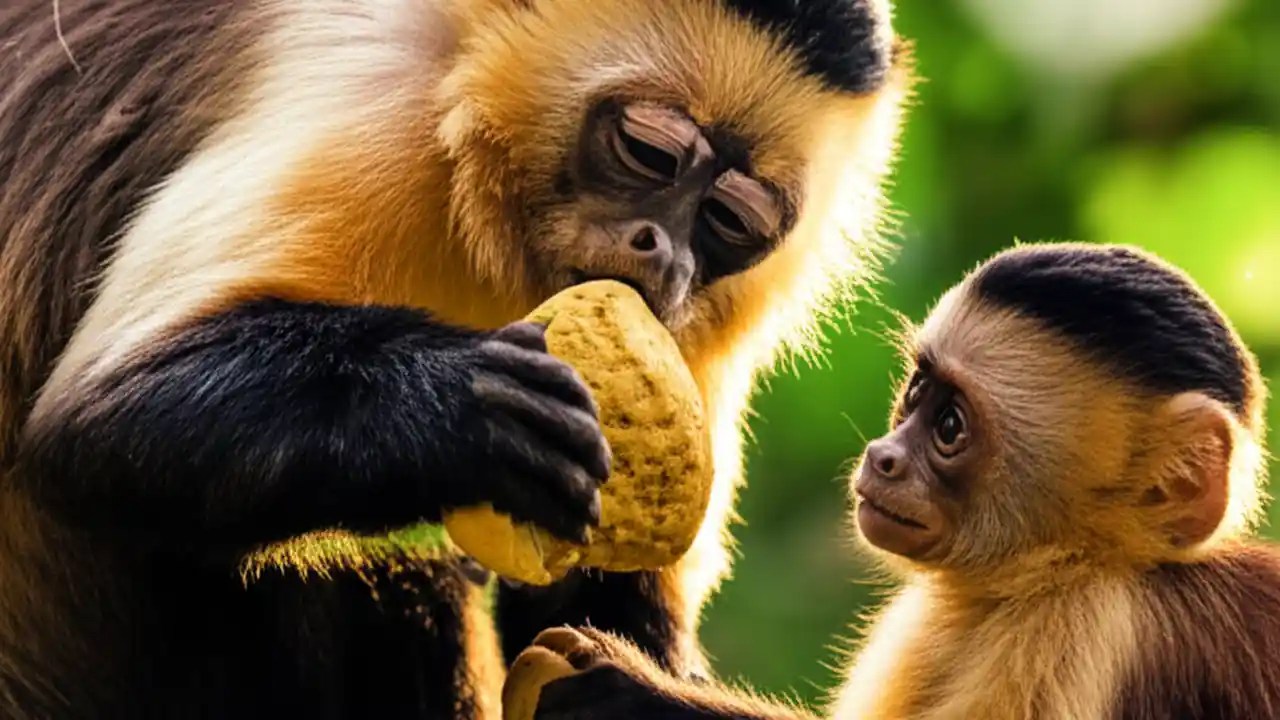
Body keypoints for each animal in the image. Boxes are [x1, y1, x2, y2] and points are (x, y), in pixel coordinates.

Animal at [0, 0, 913, 717]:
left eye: (729, 222)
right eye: (650, 152)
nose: (665, 253)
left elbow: (593, 595)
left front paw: (628, 690)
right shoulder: (374, 97)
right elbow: (103, 415)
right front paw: (465, 411)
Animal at [508, 241, 1275, 720]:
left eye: (951, 427)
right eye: (917, 393)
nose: (883, 456)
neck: (1066, 565)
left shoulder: (1081, 630)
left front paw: (628, 693)